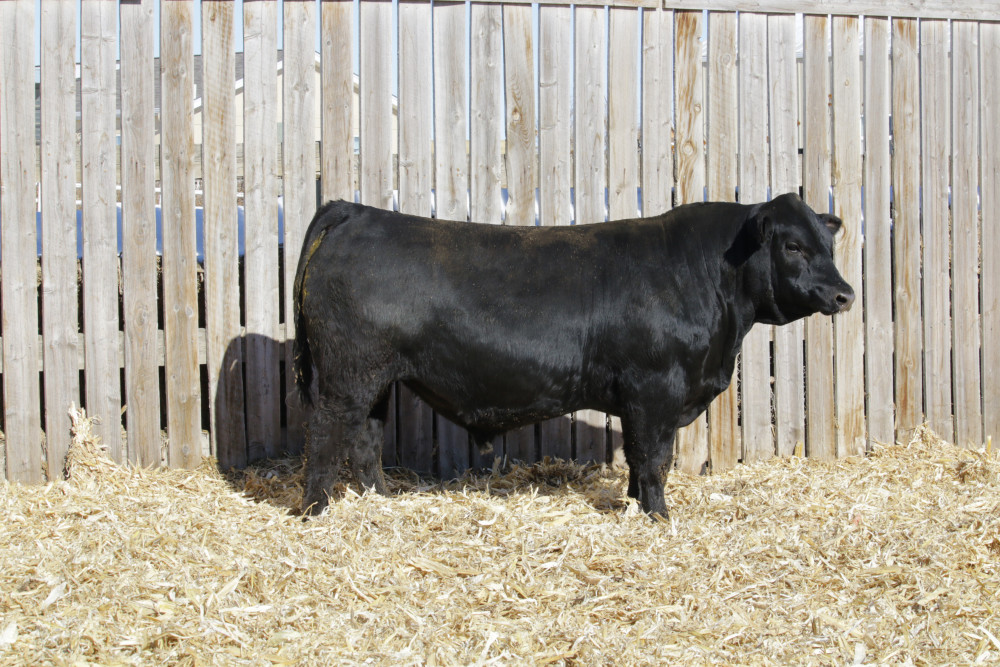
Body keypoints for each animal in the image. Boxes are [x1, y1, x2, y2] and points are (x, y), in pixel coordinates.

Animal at [292, 193, 854, 517]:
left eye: (828, 243)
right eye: (793, 246)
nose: (844, 294)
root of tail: (355, 210)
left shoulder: (643, 399)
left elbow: (638, 458)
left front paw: (636, 506)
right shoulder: (655, 388)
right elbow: (654, 458)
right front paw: (659, 516)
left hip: (375, 378)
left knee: (365, 439)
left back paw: (380, 500)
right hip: (346, 375)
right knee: (325, 435)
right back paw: (314, 510)